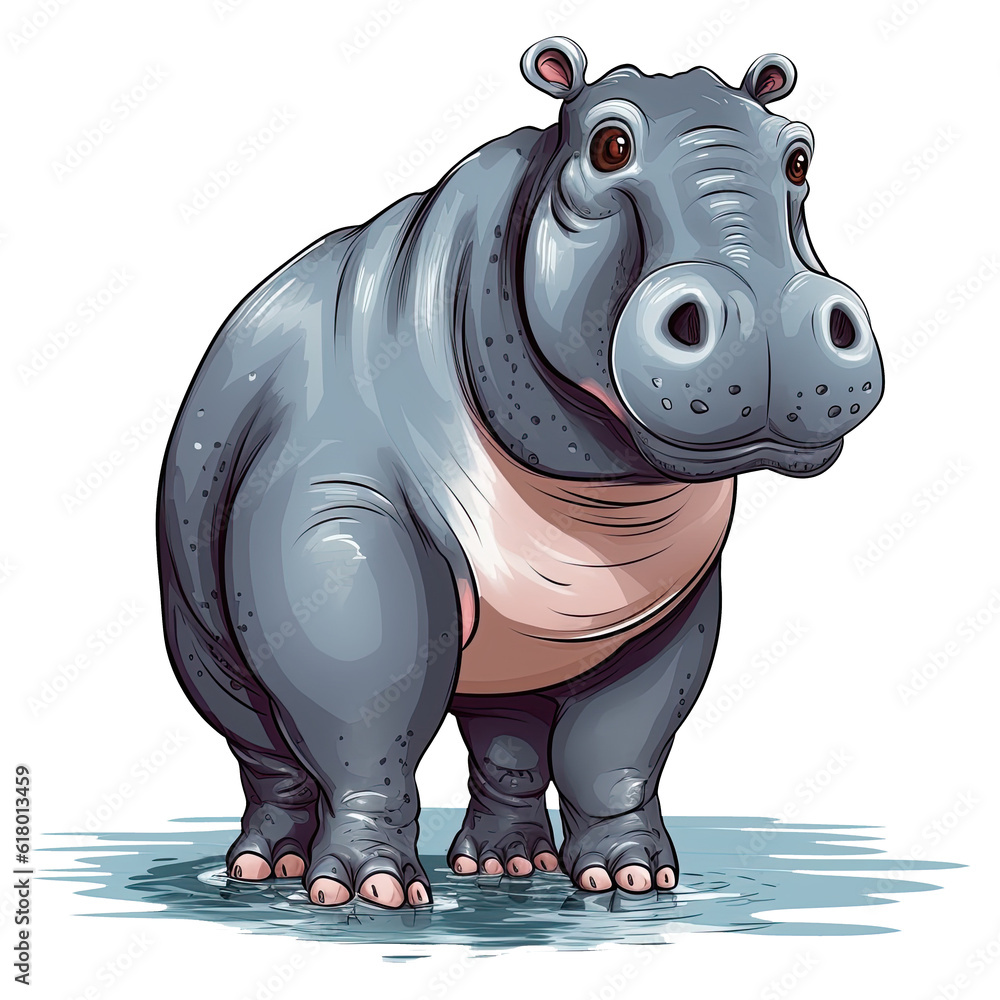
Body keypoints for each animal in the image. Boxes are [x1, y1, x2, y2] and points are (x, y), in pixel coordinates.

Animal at [156, 36, 883, 909]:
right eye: (610, 145)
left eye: (799, 155)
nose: (775, 322)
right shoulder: (336, 521)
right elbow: (365, 709)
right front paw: (372, 892)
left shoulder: (670, 607)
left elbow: (617, 745)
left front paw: (635, 879)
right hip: (199, 629)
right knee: (264, 747)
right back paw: (271, 869)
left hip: (520, 659)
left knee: (507, 740)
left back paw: (508, 867)